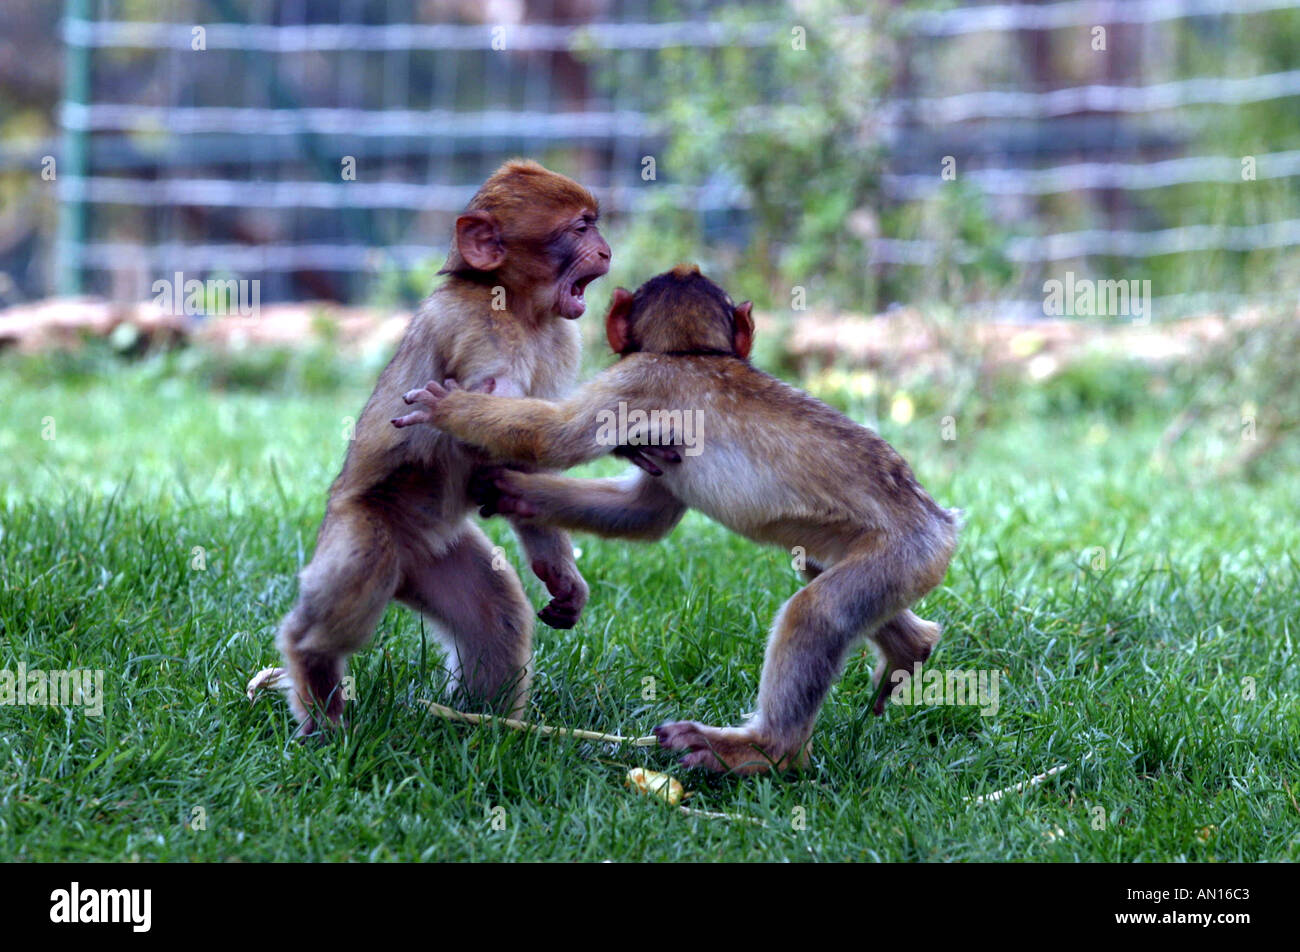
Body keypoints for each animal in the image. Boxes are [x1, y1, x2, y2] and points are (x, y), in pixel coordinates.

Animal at [274, 159, 623, 736]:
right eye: (580, 228)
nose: (607, 251)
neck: (522, 311)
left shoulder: (560, 340)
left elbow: (519, 463)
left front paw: (562, 577)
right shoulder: (480, 325)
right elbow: (499, 418)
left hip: (435, 557)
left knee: (495, 615)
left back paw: (481, 724)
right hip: (359, 521)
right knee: (361, 569)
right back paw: (315, 678)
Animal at [391, 265, 961, 775]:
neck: (689, 352)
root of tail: (941, 523)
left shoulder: (638, 379)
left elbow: (549, 437)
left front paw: (450, 409)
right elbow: (646, 515)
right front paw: (512, 491)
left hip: (906, 552)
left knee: (818, 613)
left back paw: (767, 752)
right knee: (817, 568)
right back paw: (912, 648)